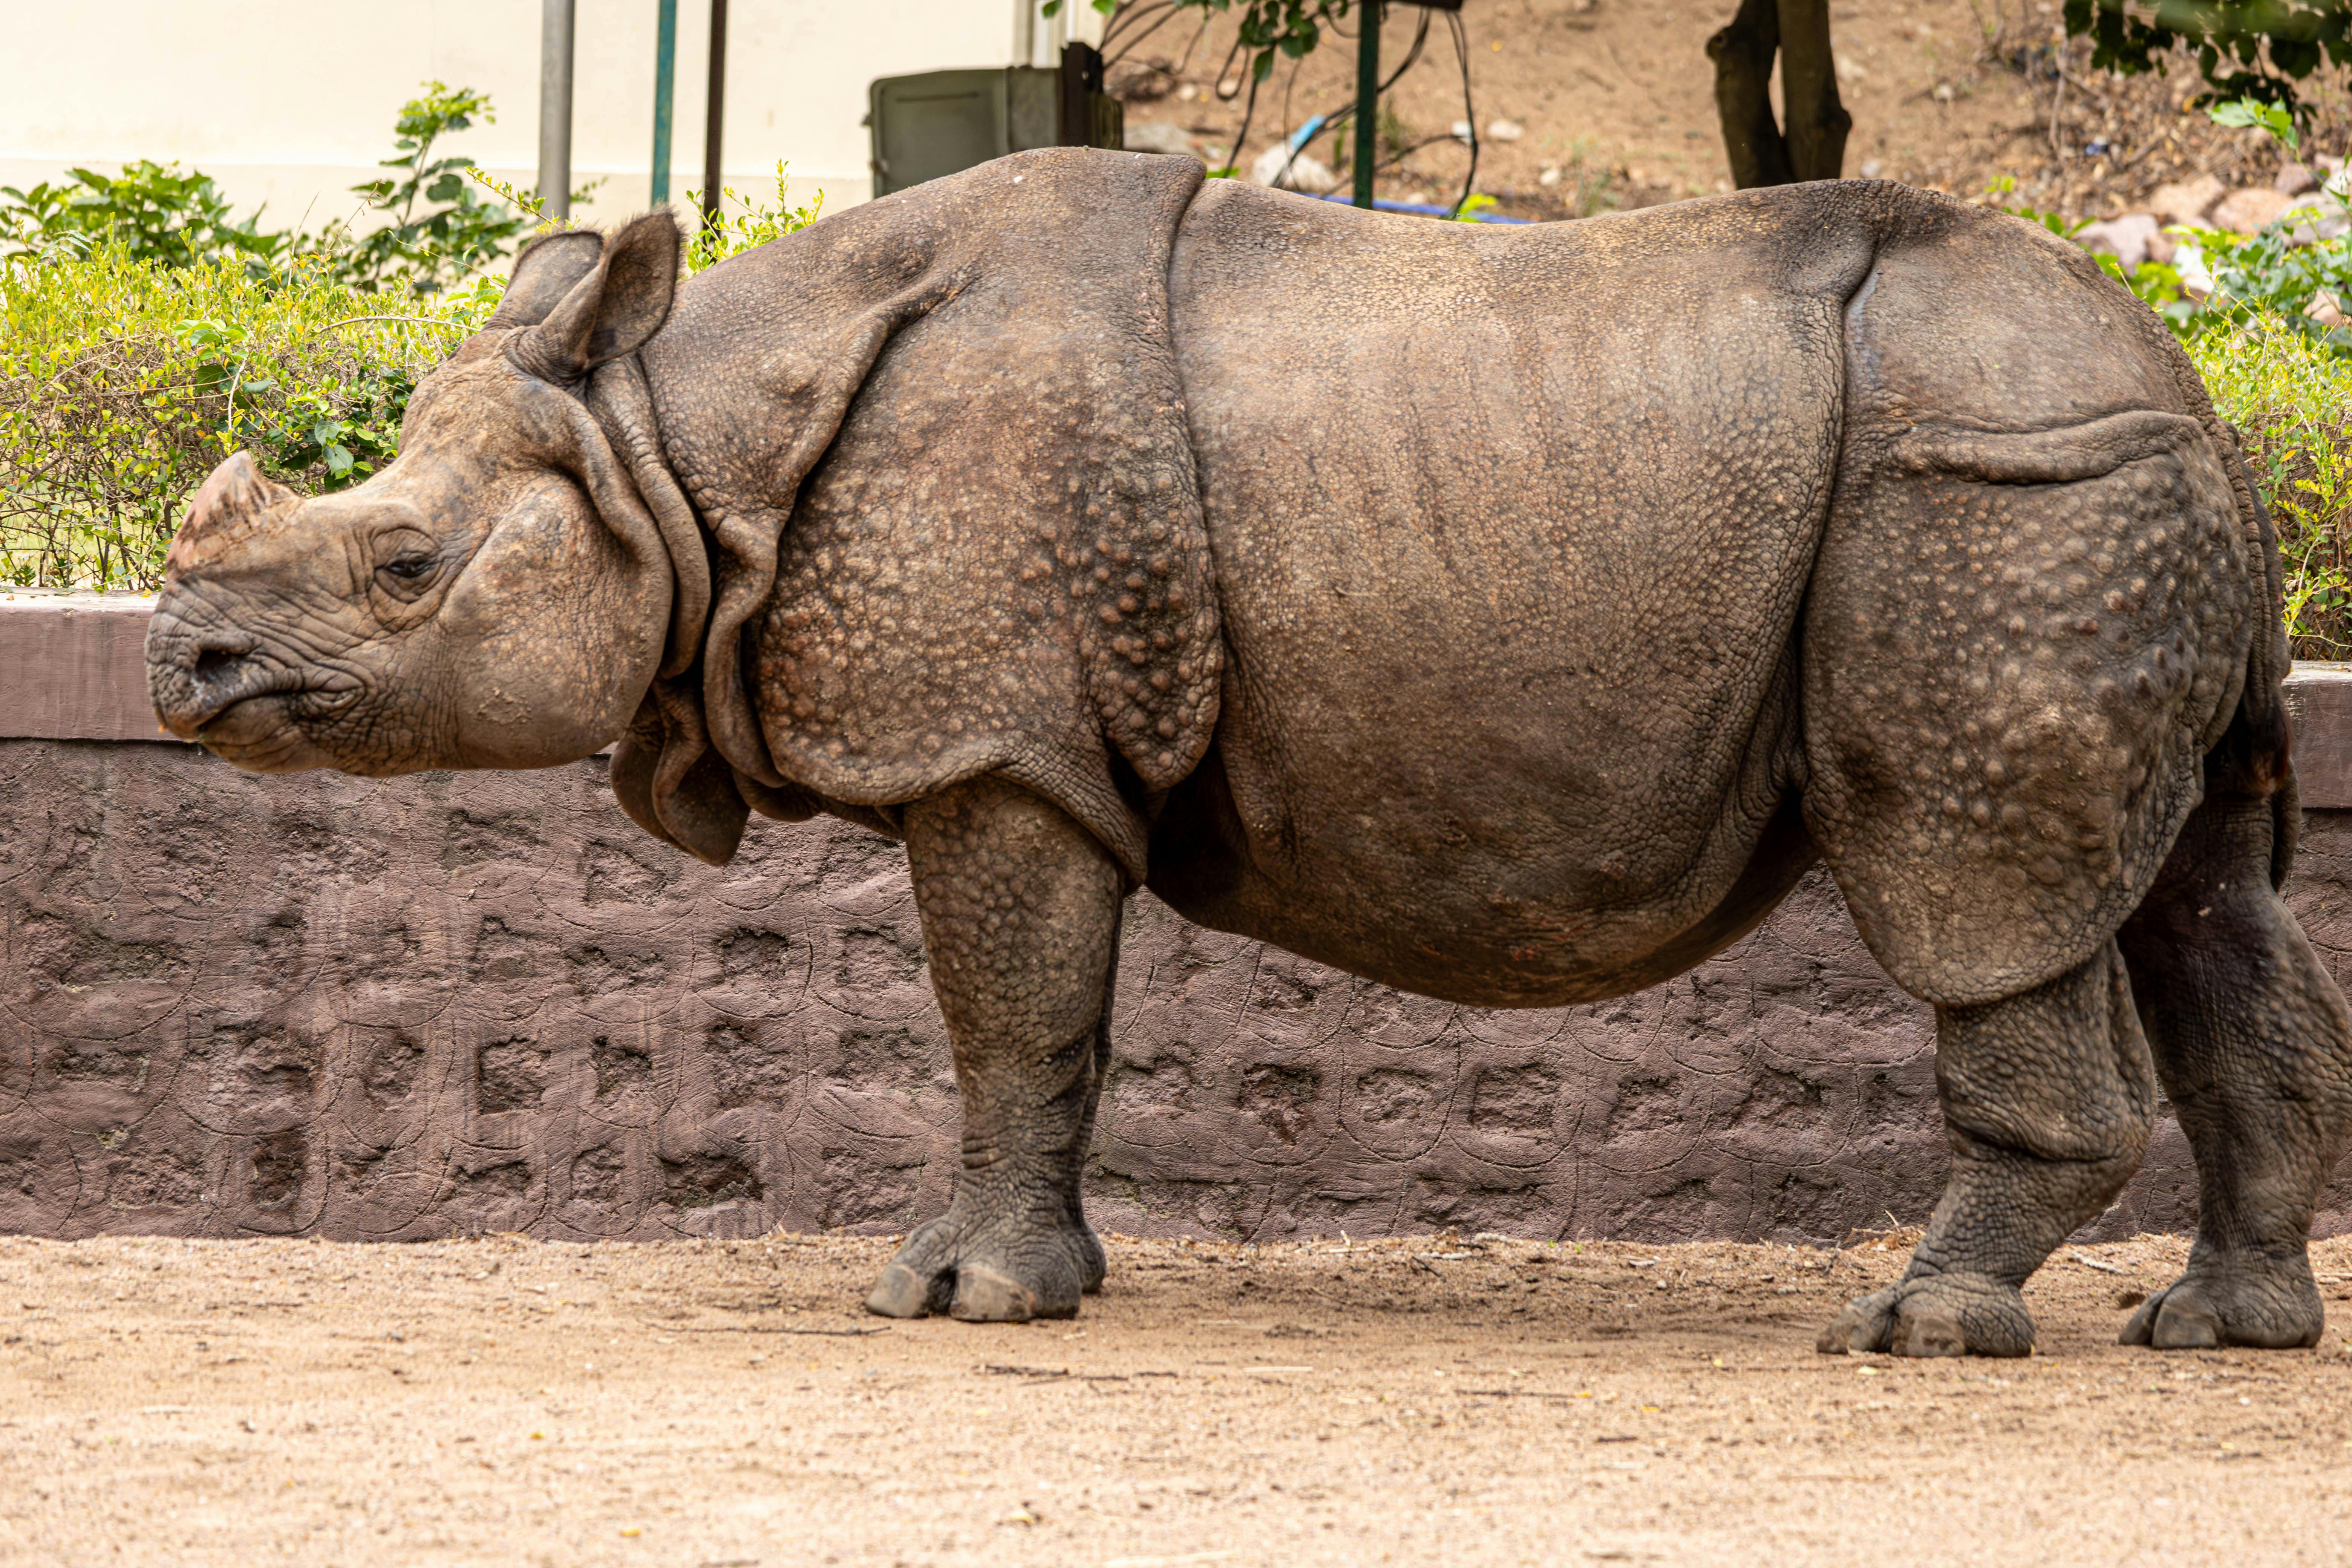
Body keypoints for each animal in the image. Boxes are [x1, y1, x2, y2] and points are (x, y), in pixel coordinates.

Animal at [147, 150, 2352, 1357]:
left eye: (402, 566)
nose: (180, 665)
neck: (673, 451)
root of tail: (2194, 383)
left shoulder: (996, 736)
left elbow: (1009, 1017)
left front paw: (962, 1301)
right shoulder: (1033, 731)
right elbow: (1043, 1022)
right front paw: (1014, 1284)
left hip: (1993, 490)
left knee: (1972, 894)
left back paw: (1913, 1330)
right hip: (2096, 486)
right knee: (2200, 895)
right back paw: (2214, 1330)